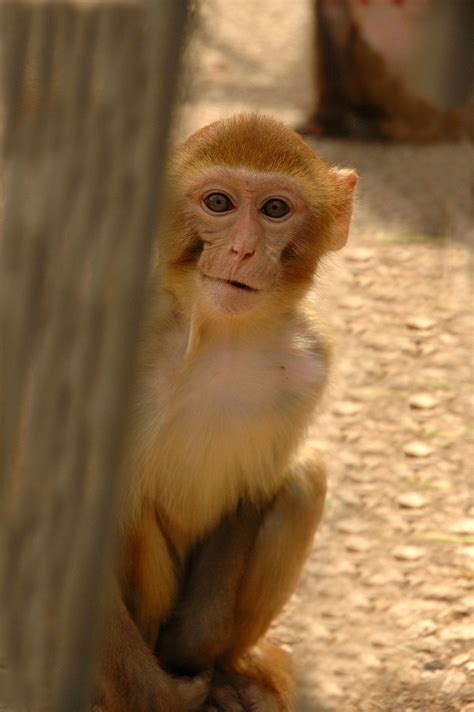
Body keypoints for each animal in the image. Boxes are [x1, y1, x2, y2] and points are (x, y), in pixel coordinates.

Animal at [93, 113, 357, 712]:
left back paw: (234, 668)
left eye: (275, 210)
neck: (222, 337)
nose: (240, 251)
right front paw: (162, 695)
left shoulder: (313, 364)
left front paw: (199, 656)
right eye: (219, 202)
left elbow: (250, 494)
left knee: (304, 478)